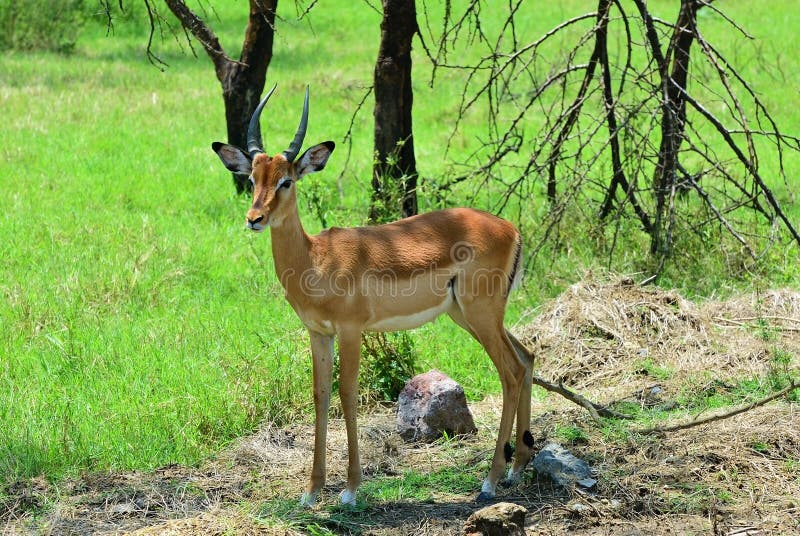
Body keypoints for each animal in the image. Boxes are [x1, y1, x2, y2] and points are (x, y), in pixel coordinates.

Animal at [212, 85, 535, 506]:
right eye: (252, 178)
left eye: (286, 181)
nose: (254, 219)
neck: (316, 259)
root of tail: (512, 229)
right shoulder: (319, 333)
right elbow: (320, 396)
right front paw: (311, 492)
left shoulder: (351, 331)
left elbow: (347, 395)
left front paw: (350, 489)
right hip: (470, 315)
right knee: (527, 358)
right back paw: (517, 468)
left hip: (480, 315)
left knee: (510, 372)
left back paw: (490, 480)